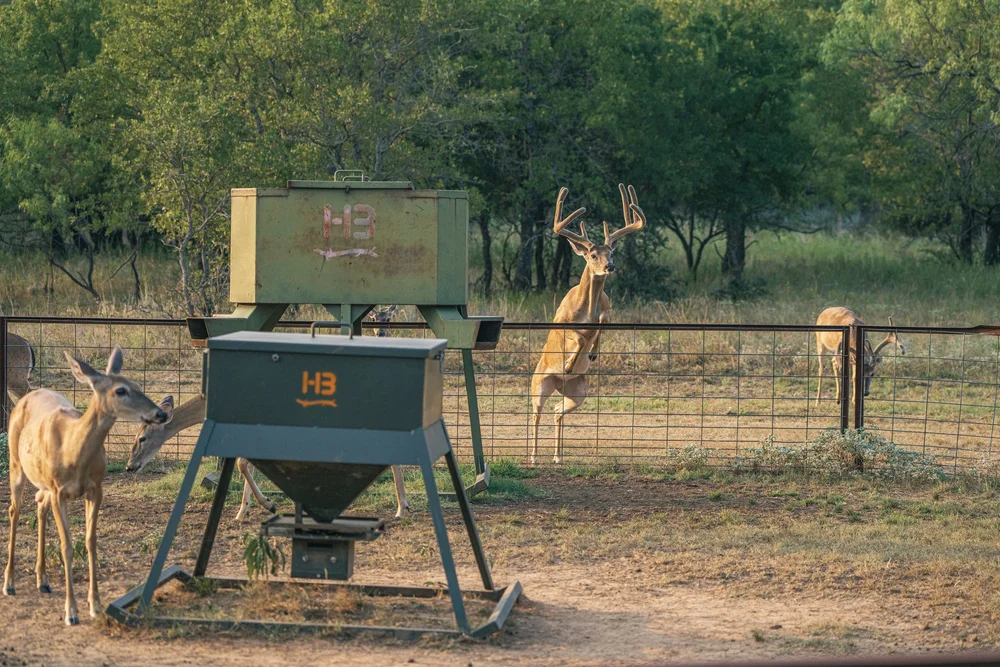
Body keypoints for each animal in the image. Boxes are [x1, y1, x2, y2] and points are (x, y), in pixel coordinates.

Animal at [4, 346, 168, 625]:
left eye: (137, 384)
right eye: (120, 390)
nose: (161, 413)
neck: (73, 453)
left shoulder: (95, 489)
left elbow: (91, 542)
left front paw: (95, 605)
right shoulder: (59, 492)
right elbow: (67, 546)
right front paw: (71, 612)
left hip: (44, 484)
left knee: (40, 507)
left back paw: (43, 580)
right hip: (16, 464)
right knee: (14, 511)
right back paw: (10, 583)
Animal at [128, 394, 410, 521]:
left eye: (142, 437)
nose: (131, 466)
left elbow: (243, 463)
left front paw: (268, 504)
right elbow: (245, 464)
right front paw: (242, 512)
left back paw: (400, 508)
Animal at [530, 184, 645, 465]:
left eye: (611, 252)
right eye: (593, 255)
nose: (610, 266)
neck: (588, 307)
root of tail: (556, 383)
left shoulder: (607, 312)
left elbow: (601, 325)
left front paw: (592, 353)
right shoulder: (560, 321)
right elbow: (580, 336)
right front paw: (570, 362)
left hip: (578, 392)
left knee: (557, 410)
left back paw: (558, 457)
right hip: (539, 384)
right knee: (536, 414)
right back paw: (534, 457)